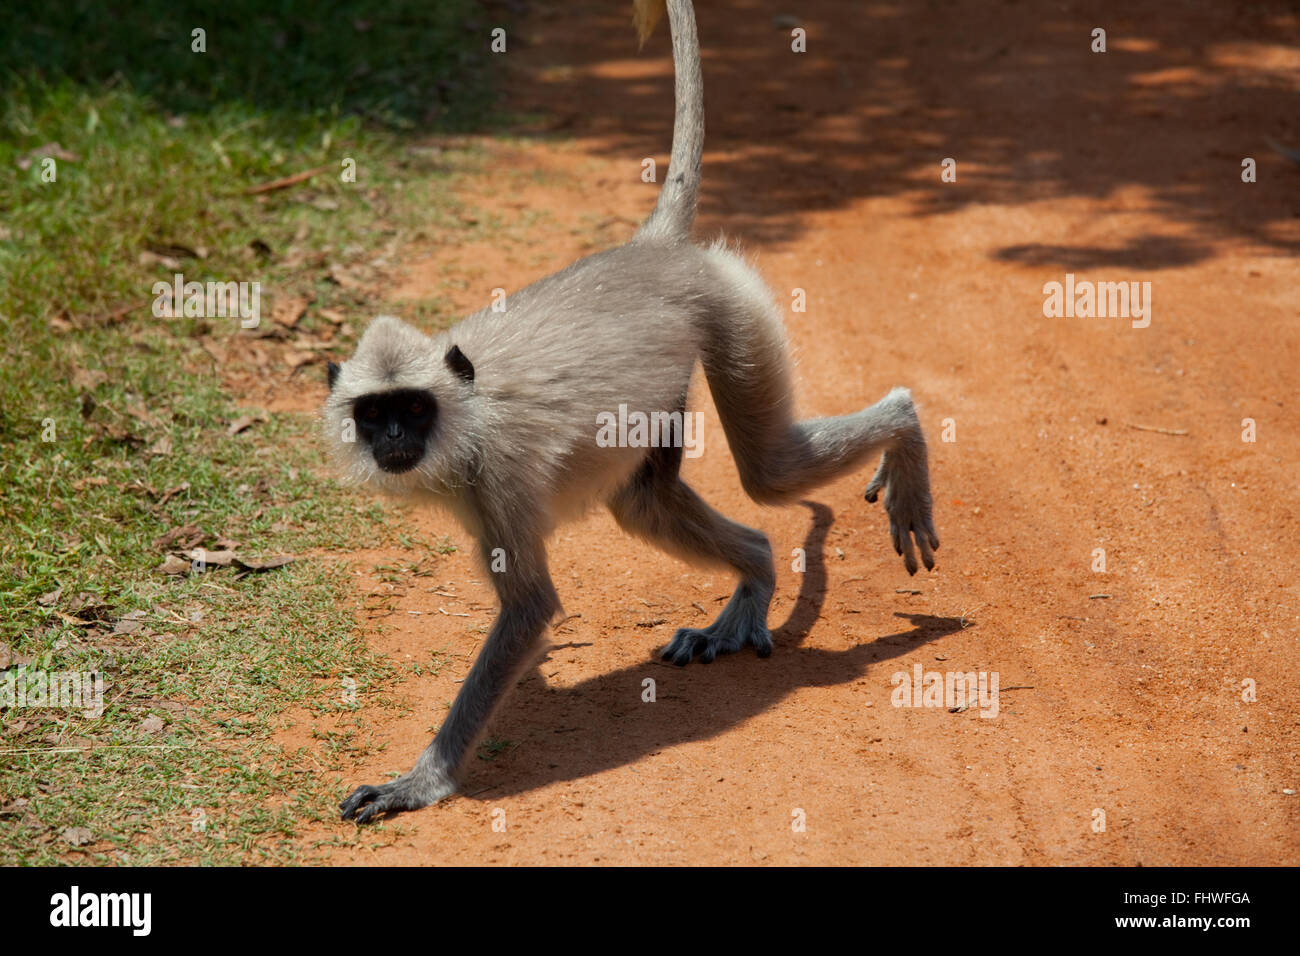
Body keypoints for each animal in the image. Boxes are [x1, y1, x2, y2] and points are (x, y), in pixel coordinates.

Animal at [323, 0, 938, 823]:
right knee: (650, 501)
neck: (466, 418)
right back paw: (754, 578)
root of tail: (654, 251)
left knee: (770, 471)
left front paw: (422, 781)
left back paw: (903, 429)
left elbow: (530, 610)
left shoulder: (498, 477)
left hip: (731, 306)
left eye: (413, 411)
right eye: (375, 414)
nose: (392, 438)